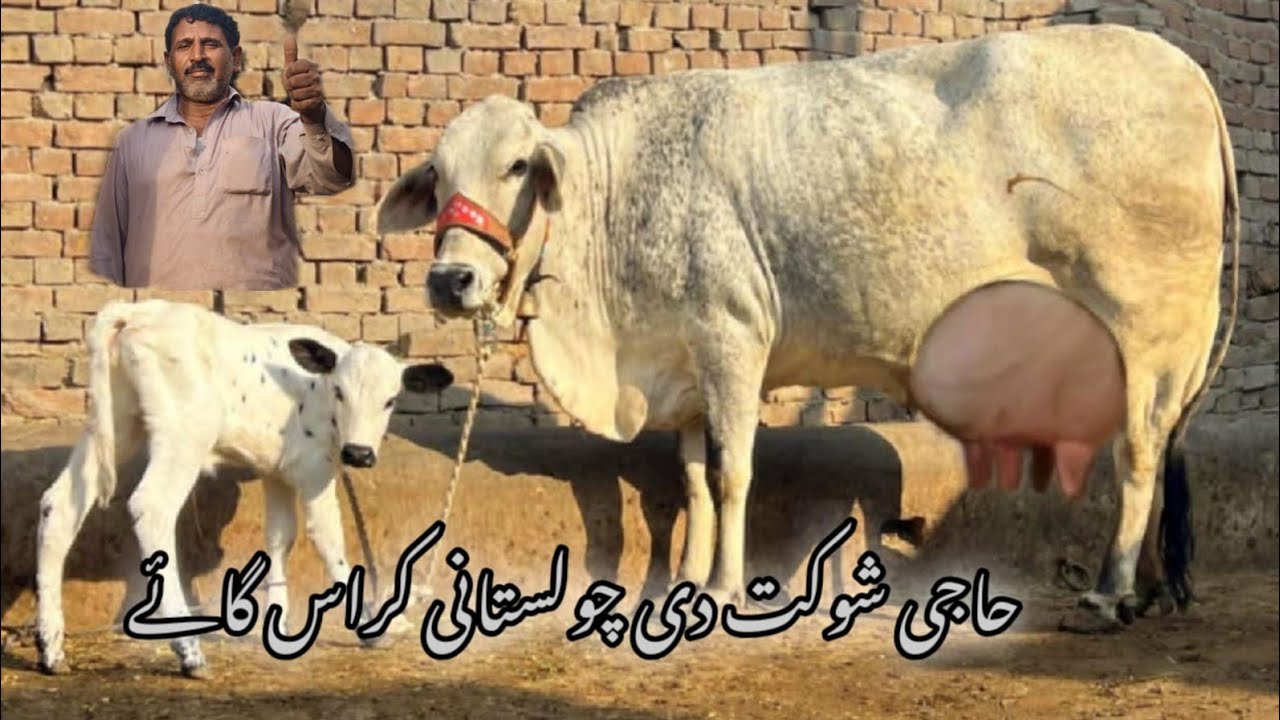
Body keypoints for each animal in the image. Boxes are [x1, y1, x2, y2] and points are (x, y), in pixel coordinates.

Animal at [34, 299, 454, 678]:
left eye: (391, 400)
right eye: (340, 392)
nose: (360, 454)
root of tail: (139, 311)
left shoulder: (278, 472)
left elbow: (281, 537)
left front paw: (279, 626)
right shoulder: (315, 471)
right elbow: (328, 539)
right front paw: (370, 630)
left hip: (118, 424)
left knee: (60, 504)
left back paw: (50, 649)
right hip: (182, 436)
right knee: (151, 508)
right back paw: (189, 652)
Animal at [375, 24, 1239, 631]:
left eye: (517, 166)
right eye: (437, 175)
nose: (451, 281)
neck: (615, 199)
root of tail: (1188, 70)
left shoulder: (731, 341)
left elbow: (732, 474)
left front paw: (724, 586)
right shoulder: (689, 366)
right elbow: (693, 479)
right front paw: (686, 579)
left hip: (1146, 333)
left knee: (1138, 454)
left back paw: (1111, 590)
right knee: (1152, 453)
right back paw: (1147, 591)